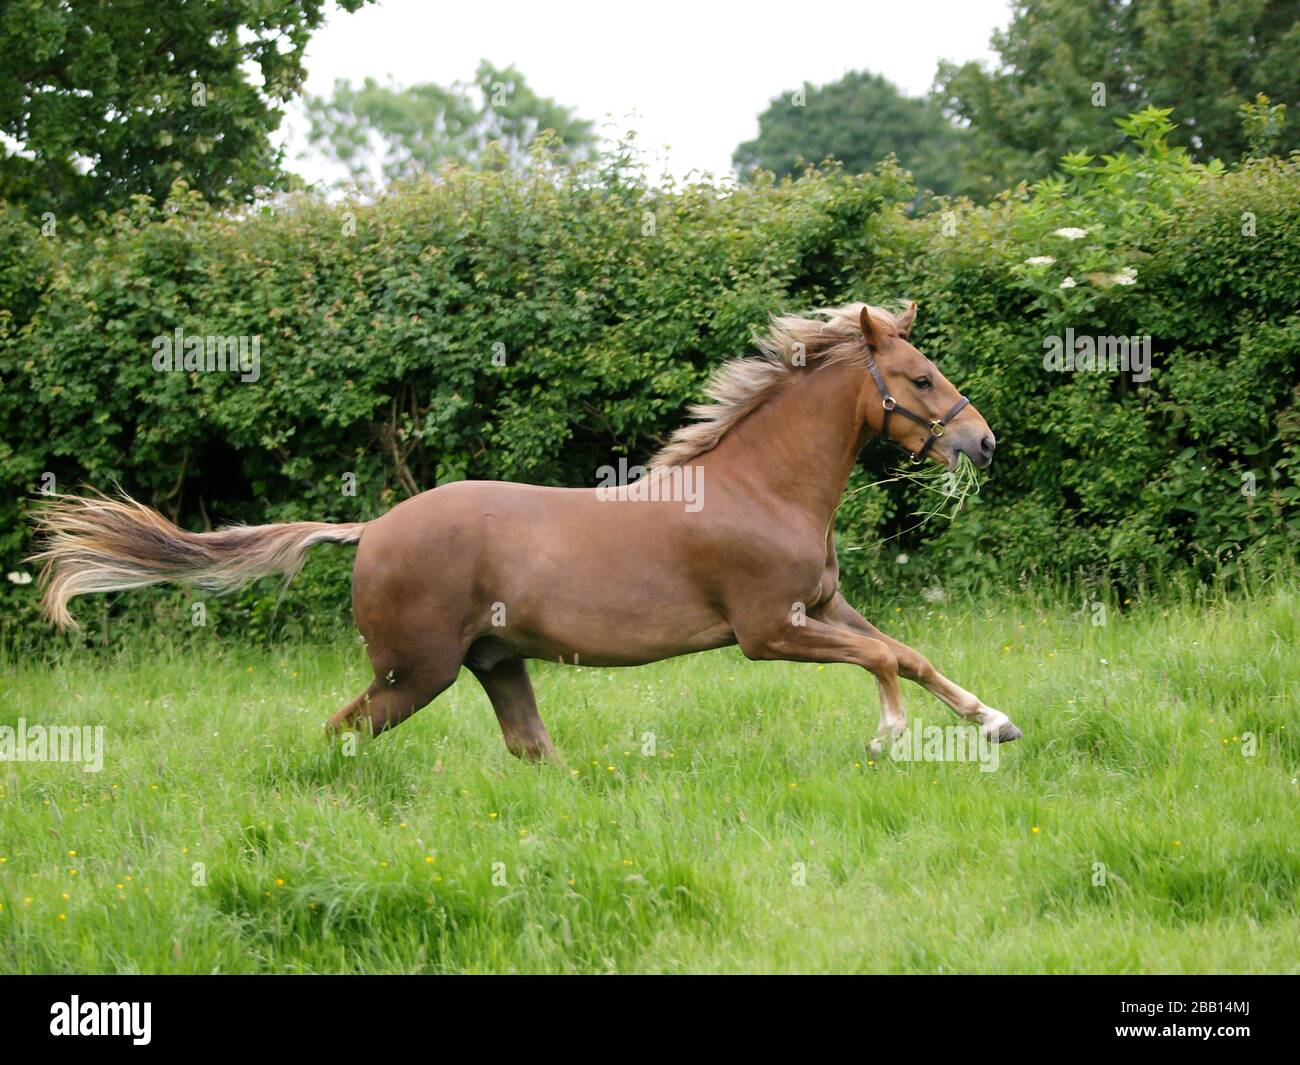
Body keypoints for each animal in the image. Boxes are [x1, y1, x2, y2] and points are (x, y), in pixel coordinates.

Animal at [34, 302, 1023, 760]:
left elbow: (910, 652)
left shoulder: (823, 607)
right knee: (341, 730)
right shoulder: (768, 630)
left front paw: (996, 721)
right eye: (922, 377)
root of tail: (368, 529)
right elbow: (886, 660)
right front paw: (887, 738)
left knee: (527, 747)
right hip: (414, 671)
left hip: (495, 662)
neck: (762, 488)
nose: (982, 442)